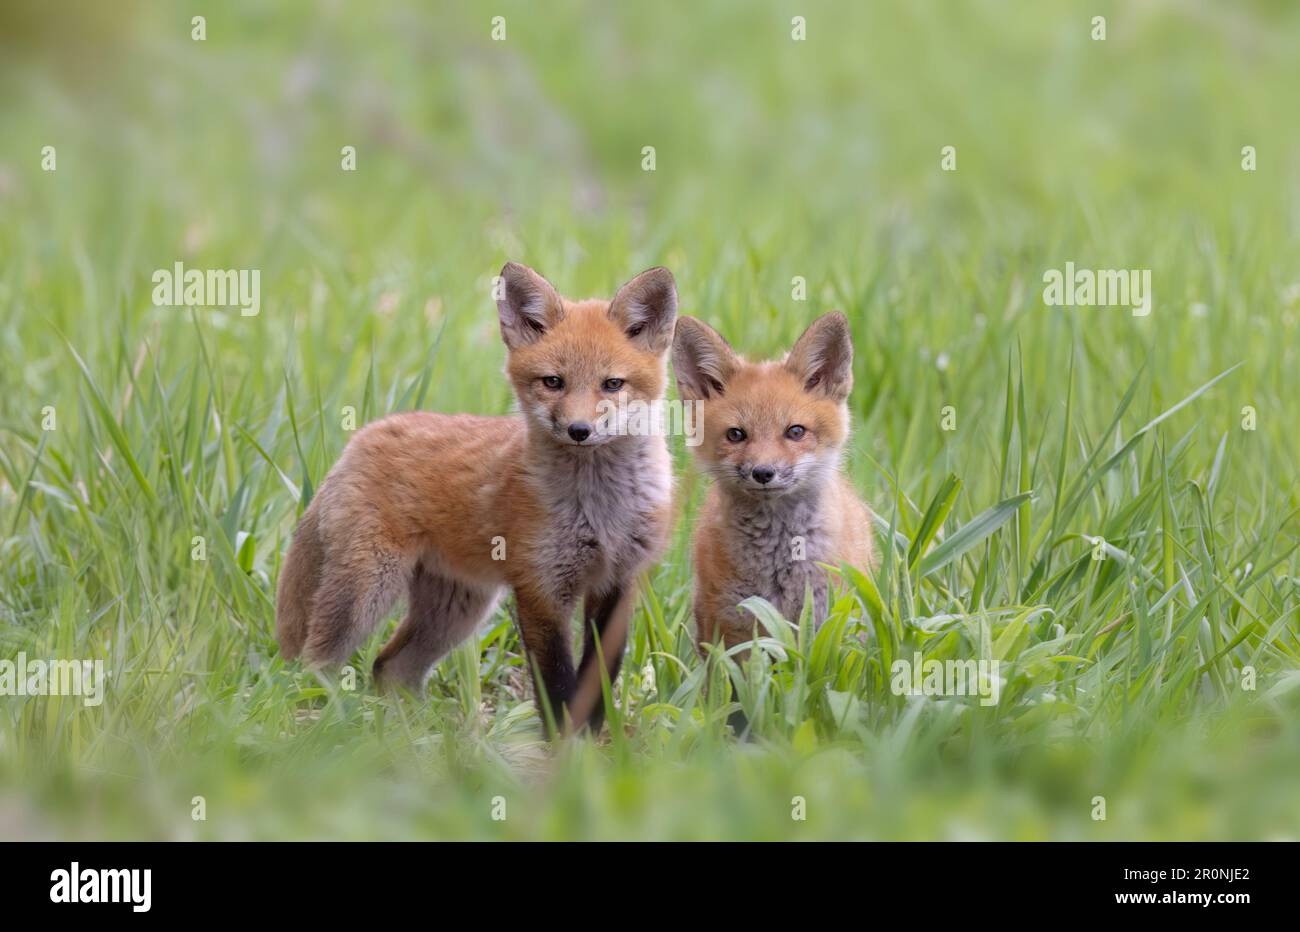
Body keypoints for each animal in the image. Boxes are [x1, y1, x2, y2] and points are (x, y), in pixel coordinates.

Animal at [275, 262, 679, 736]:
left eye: (612, 384)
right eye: (553, 382)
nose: (579, 430)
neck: (601, 510)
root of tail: (362, 436)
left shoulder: (618, 583)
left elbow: (597, 679)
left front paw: (597, 742)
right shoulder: (541, 587)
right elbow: (556, 685)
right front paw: (563, 746)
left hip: (456, 610)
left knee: (389, 667)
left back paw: (417, 736)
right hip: (367, 590)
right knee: (317, 662)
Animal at [672, 311, 876, 653]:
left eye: (795, 431)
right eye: (736, 434)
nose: (763, 473)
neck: (779, 559)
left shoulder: (825, 621)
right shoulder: (734, 627)